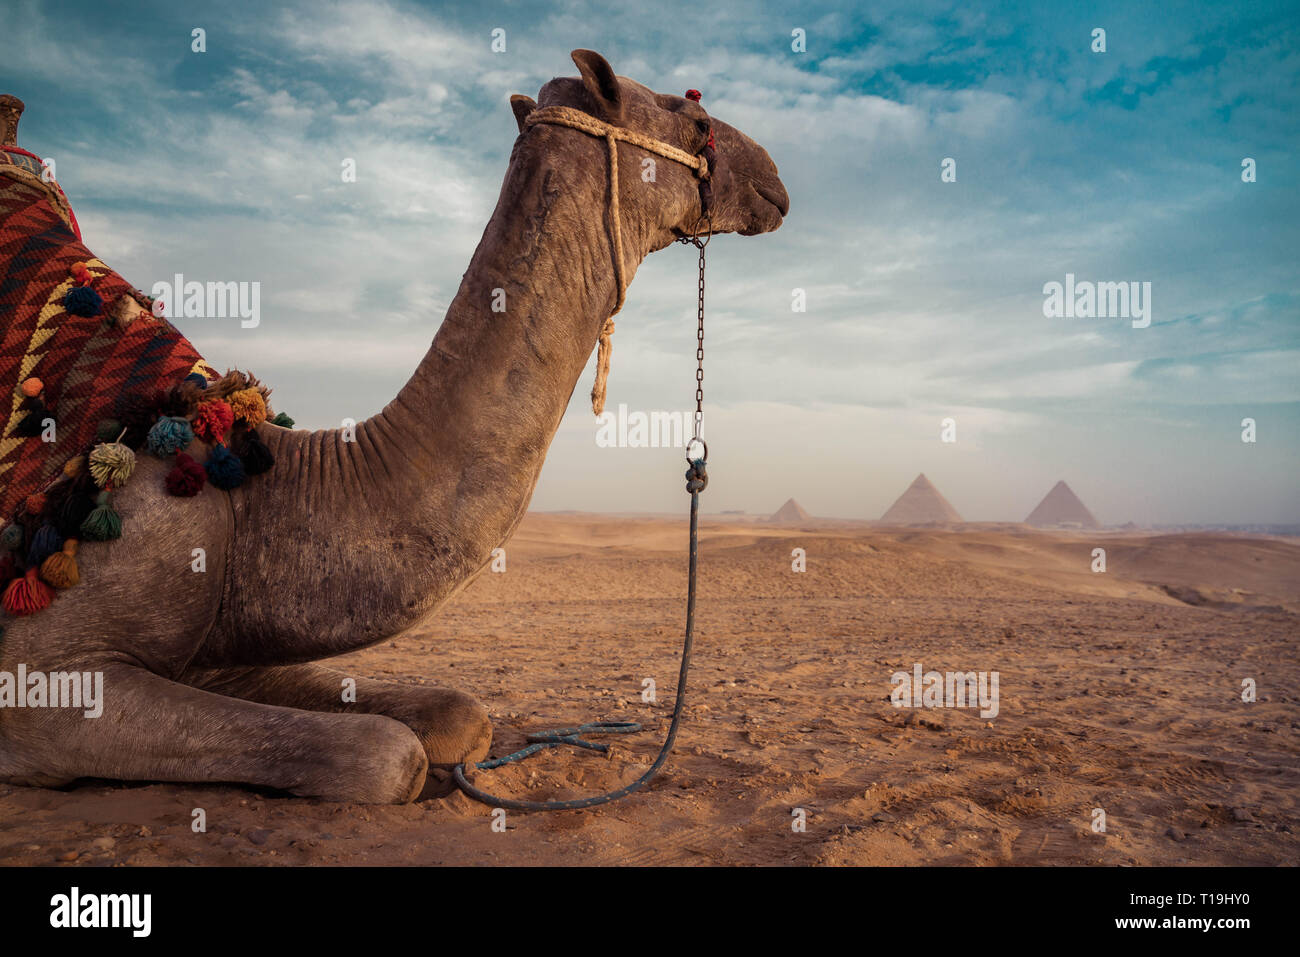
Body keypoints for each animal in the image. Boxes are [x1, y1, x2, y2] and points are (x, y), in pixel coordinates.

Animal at [0, 51, 787, 804]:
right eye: (694, 120)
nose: (775, 177)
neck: (244, 484)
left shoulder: (211, 650)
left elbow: (459, 716)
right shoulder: (49, 675)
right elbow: (387, 753)